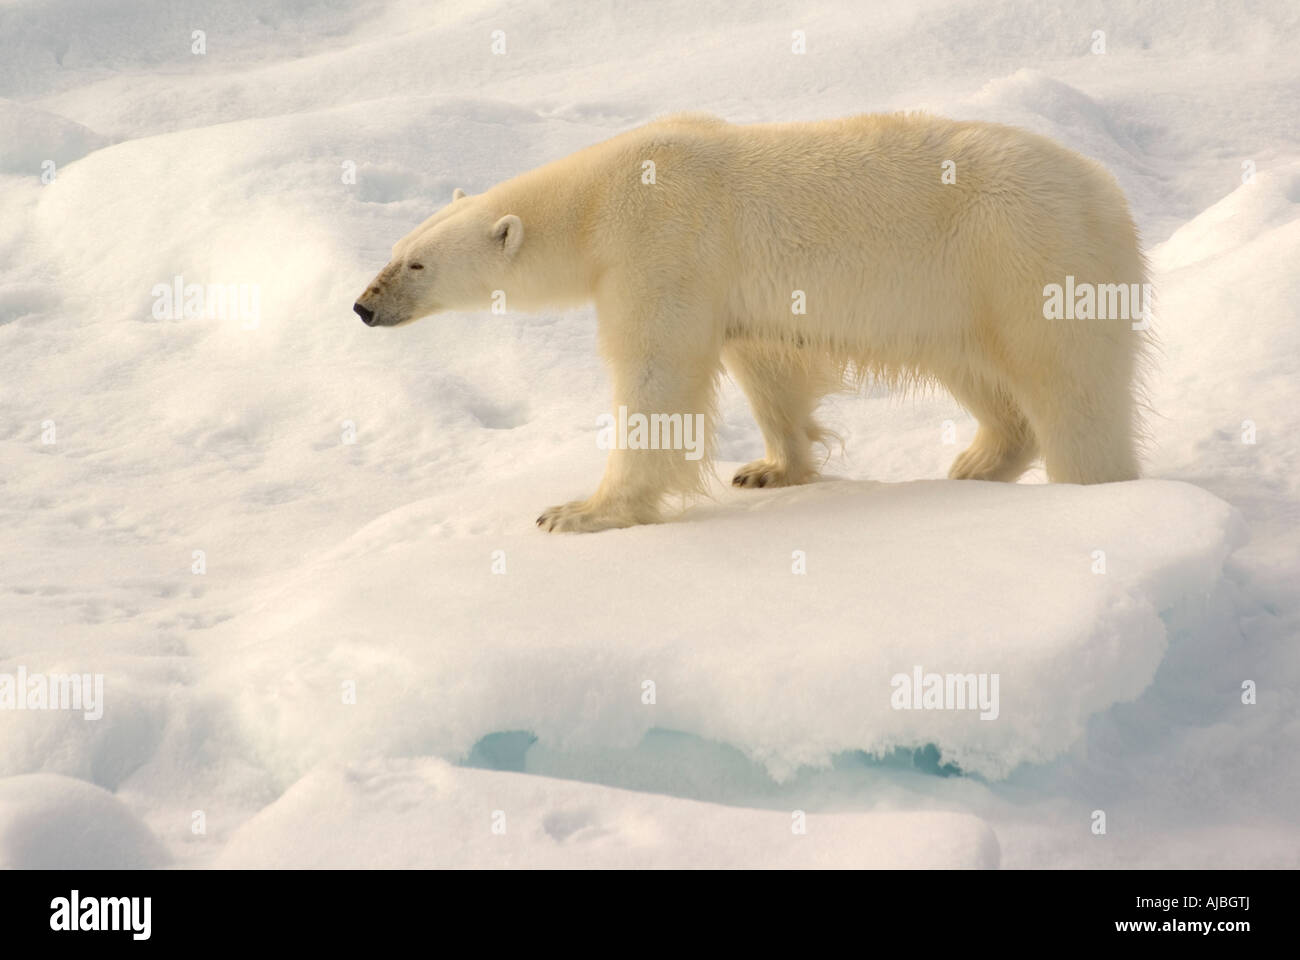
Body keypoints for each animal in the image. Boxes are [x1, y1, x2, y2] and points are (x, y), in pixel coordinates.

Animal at [354, 112, 1149, 533]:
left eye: (418, 265)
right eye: (395, 250)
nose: (363, 306)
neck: (596, 200)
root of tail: (1108, 193)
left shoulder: (661, 242)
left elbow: (656, 375)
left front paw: (580, 511)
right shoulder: (734, 289)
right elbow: (766, 365)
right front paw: (770, 469)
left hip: (1028, 263)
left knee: (1072, 390)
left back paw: (1092, 490)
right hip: (960, 297)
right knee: (979, 375)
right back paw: (976, 462)